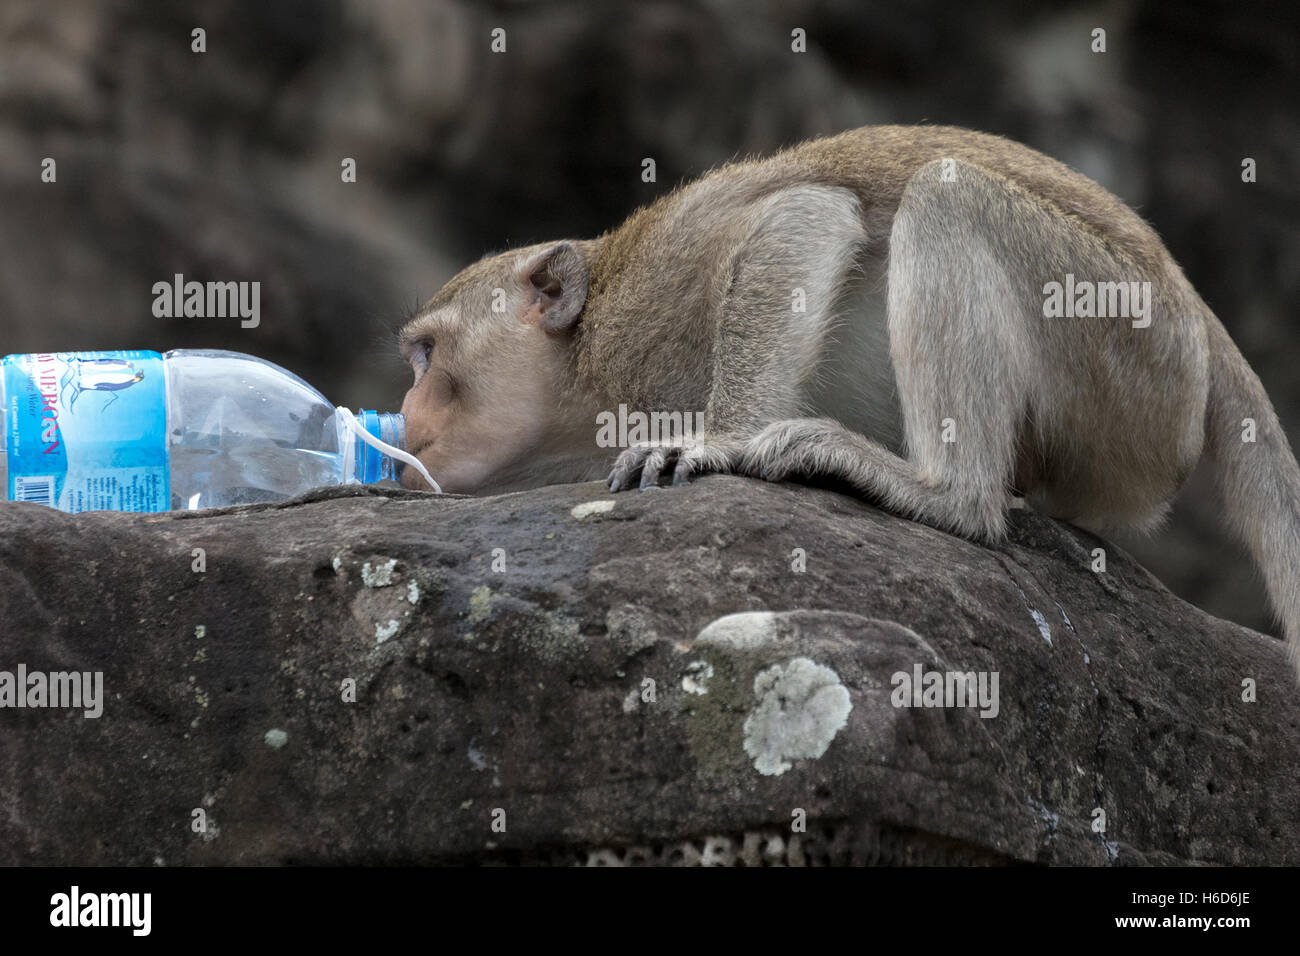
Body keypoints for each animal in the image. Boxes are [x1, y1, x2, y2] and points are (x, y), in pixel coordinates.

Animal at [396, 124, 1300, 681]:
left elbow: (805, 218)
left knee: (949, 195)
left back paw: (945, 493)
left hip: (1131, 346)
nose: (404, 416)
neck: (581, 369)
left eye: (426, 354)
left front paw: (716, 441)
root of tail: (1195, 316)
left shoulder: (654, 295)